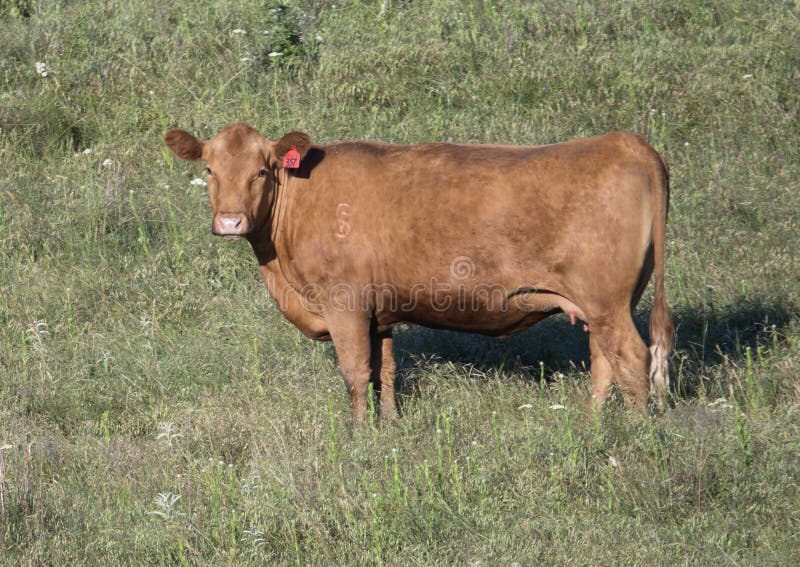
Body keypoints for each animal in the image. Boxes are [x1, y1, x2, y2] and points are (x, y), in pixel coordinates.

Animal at [164, 123, 674, 423]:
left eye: (263, 171)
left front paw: (359, 435)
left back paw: (634, 433)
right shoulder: (380, 312)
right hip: (602, 304)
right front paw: (389, 426)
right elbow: (386, 370)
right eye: (209, 169)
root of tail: (624, 141)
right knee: (605, 361)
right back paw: (592, 427)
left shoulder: (345, 303)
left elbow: (356, 371)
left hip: (606, 300)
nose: (231, 222)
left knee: (633, 358)